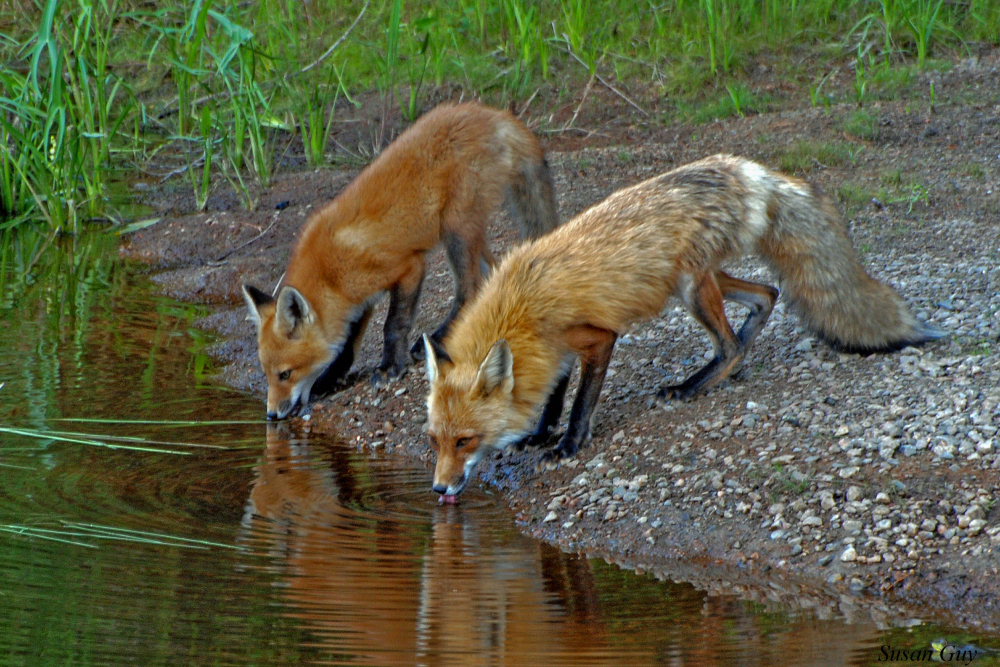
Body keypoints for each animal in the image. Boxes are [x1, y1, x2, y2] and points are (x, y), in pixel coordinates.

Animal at [242, 101, 559, 420]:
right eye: (267, 374)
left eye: (285, 374)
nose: (271, 415)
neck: (329, 273)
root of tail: (491, 113)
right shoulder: (359, 299)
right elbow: (347, 345)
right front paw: (330, 378)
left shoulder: (408, 268)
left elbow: (394, 324)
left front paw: (390, 367)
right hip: (466, 232)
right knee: (491, 272)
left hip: (455, 229)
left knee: (469, 288)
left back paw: (439, 339)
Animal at [422, 153, 944, 500]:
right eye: (434, 441)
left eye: (465, 441)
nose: (438, 489)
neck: (518, 309)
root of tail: (745, 169)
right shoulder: (554, 352)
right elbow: (553, 394)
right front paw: (538, 432)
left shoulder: (594, 337)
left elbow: (581, 403)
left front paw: (568, 444)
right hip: (697, 281)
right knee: (766, 295)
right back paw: (736, 358)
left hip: (692, 288)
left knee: (731, 342)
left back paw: (695, 384)